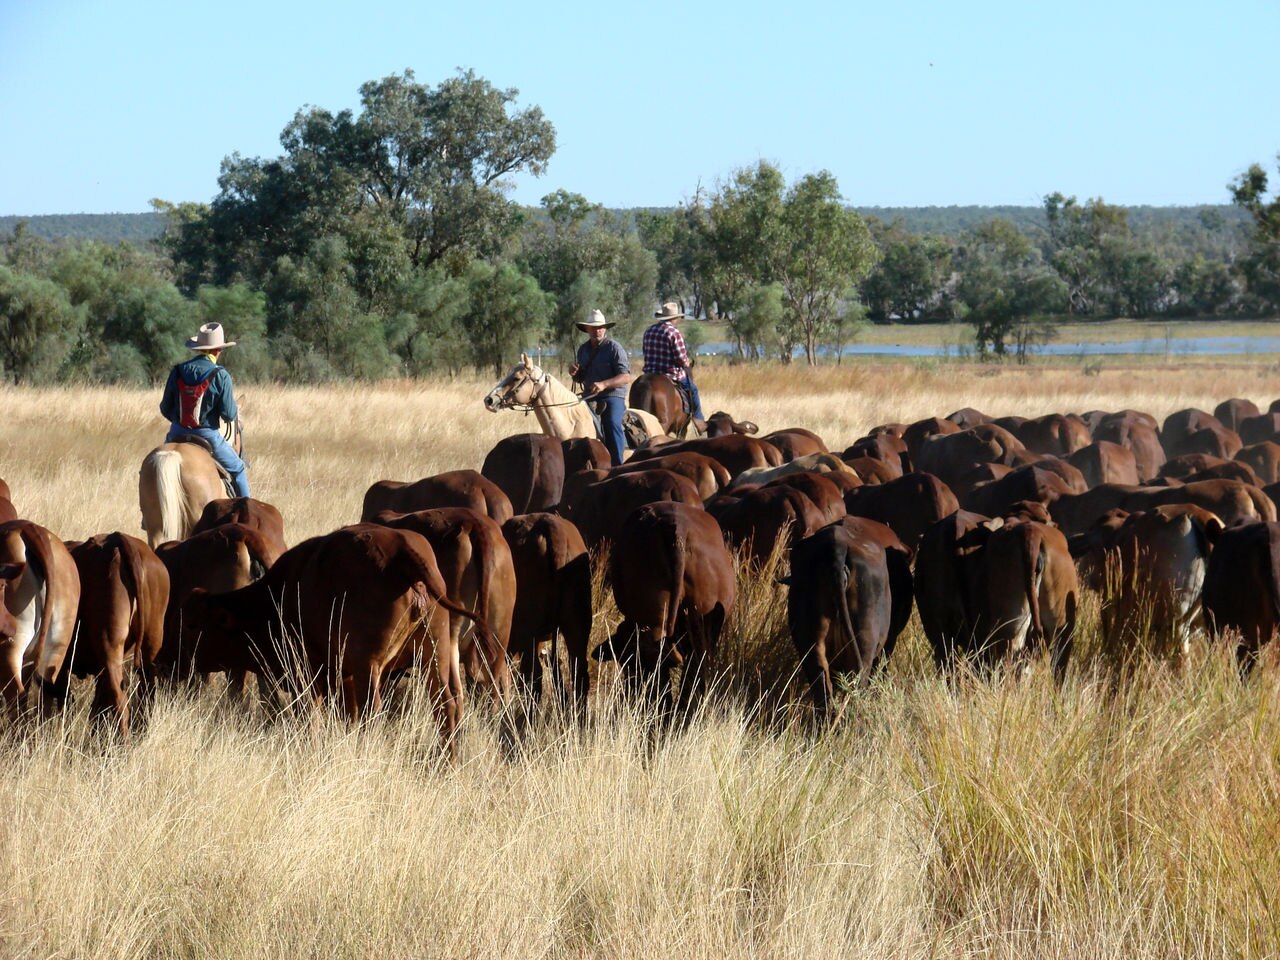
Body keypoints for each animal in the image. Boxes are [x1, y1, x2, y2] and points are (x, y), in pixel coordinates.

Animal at [179, 524, 484, 757]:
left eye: (193, 625)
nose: (179, 658)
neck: (278, 596)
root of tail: (401, 549)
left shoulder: (307, 673)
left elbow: (311, 714)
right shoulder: (342, 675)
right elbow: (347, 713)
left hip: (369, 666)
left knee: (373, 712)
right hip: (435, 654)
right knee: (447, 705)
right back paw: (448, 761)